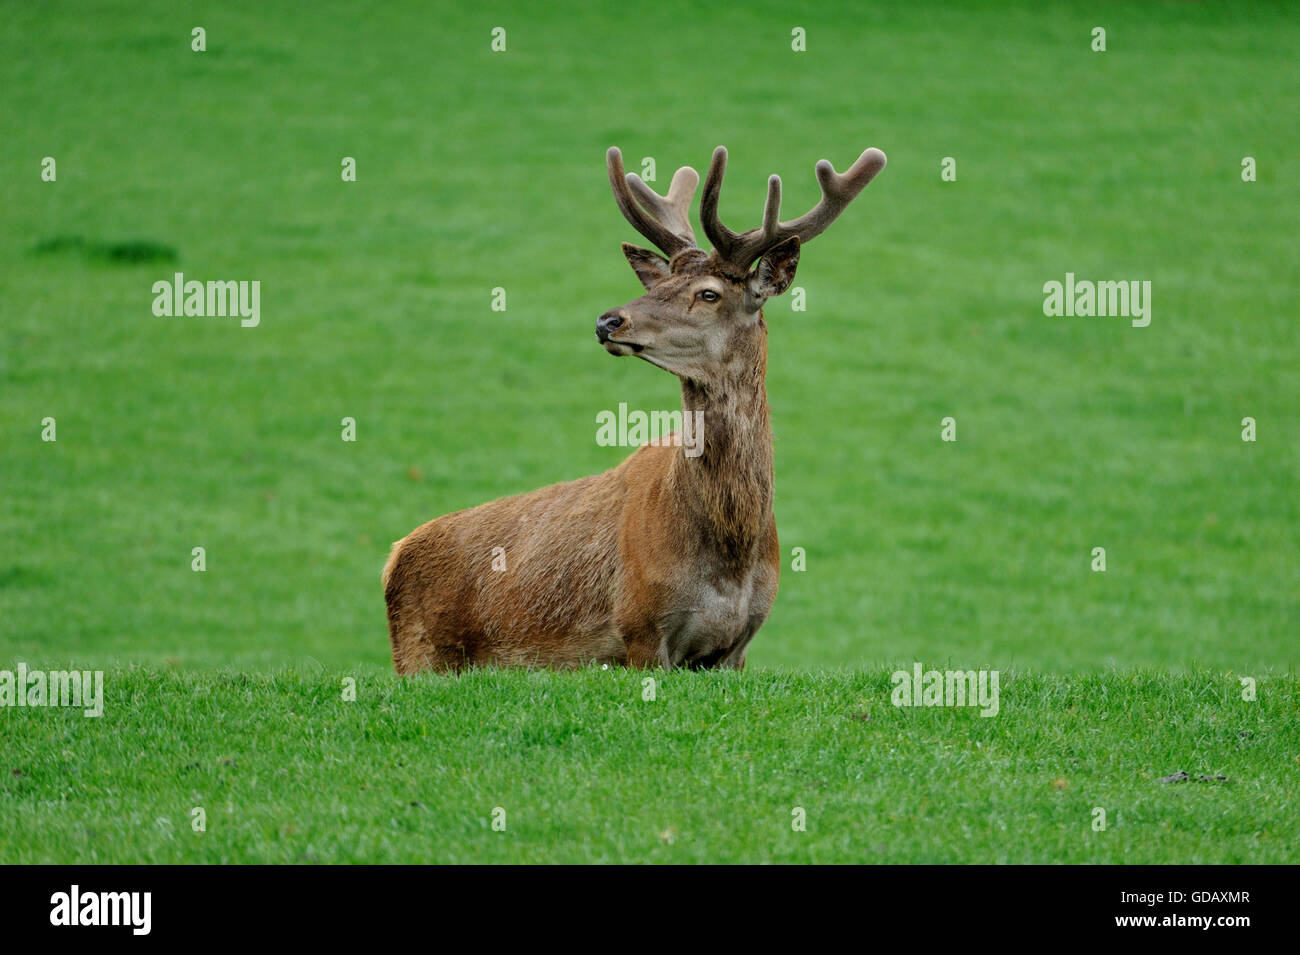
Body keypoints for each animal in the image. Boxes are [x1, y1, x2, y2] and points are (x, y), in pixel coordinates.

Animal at [383, 143, 887, 673]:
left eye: (709, 293)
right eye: (656, 286)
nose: (608, 321)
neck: (732, 555)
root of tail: (393, 557)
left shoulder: (737, 647)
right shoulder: (640, 629)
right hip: (418, 655)